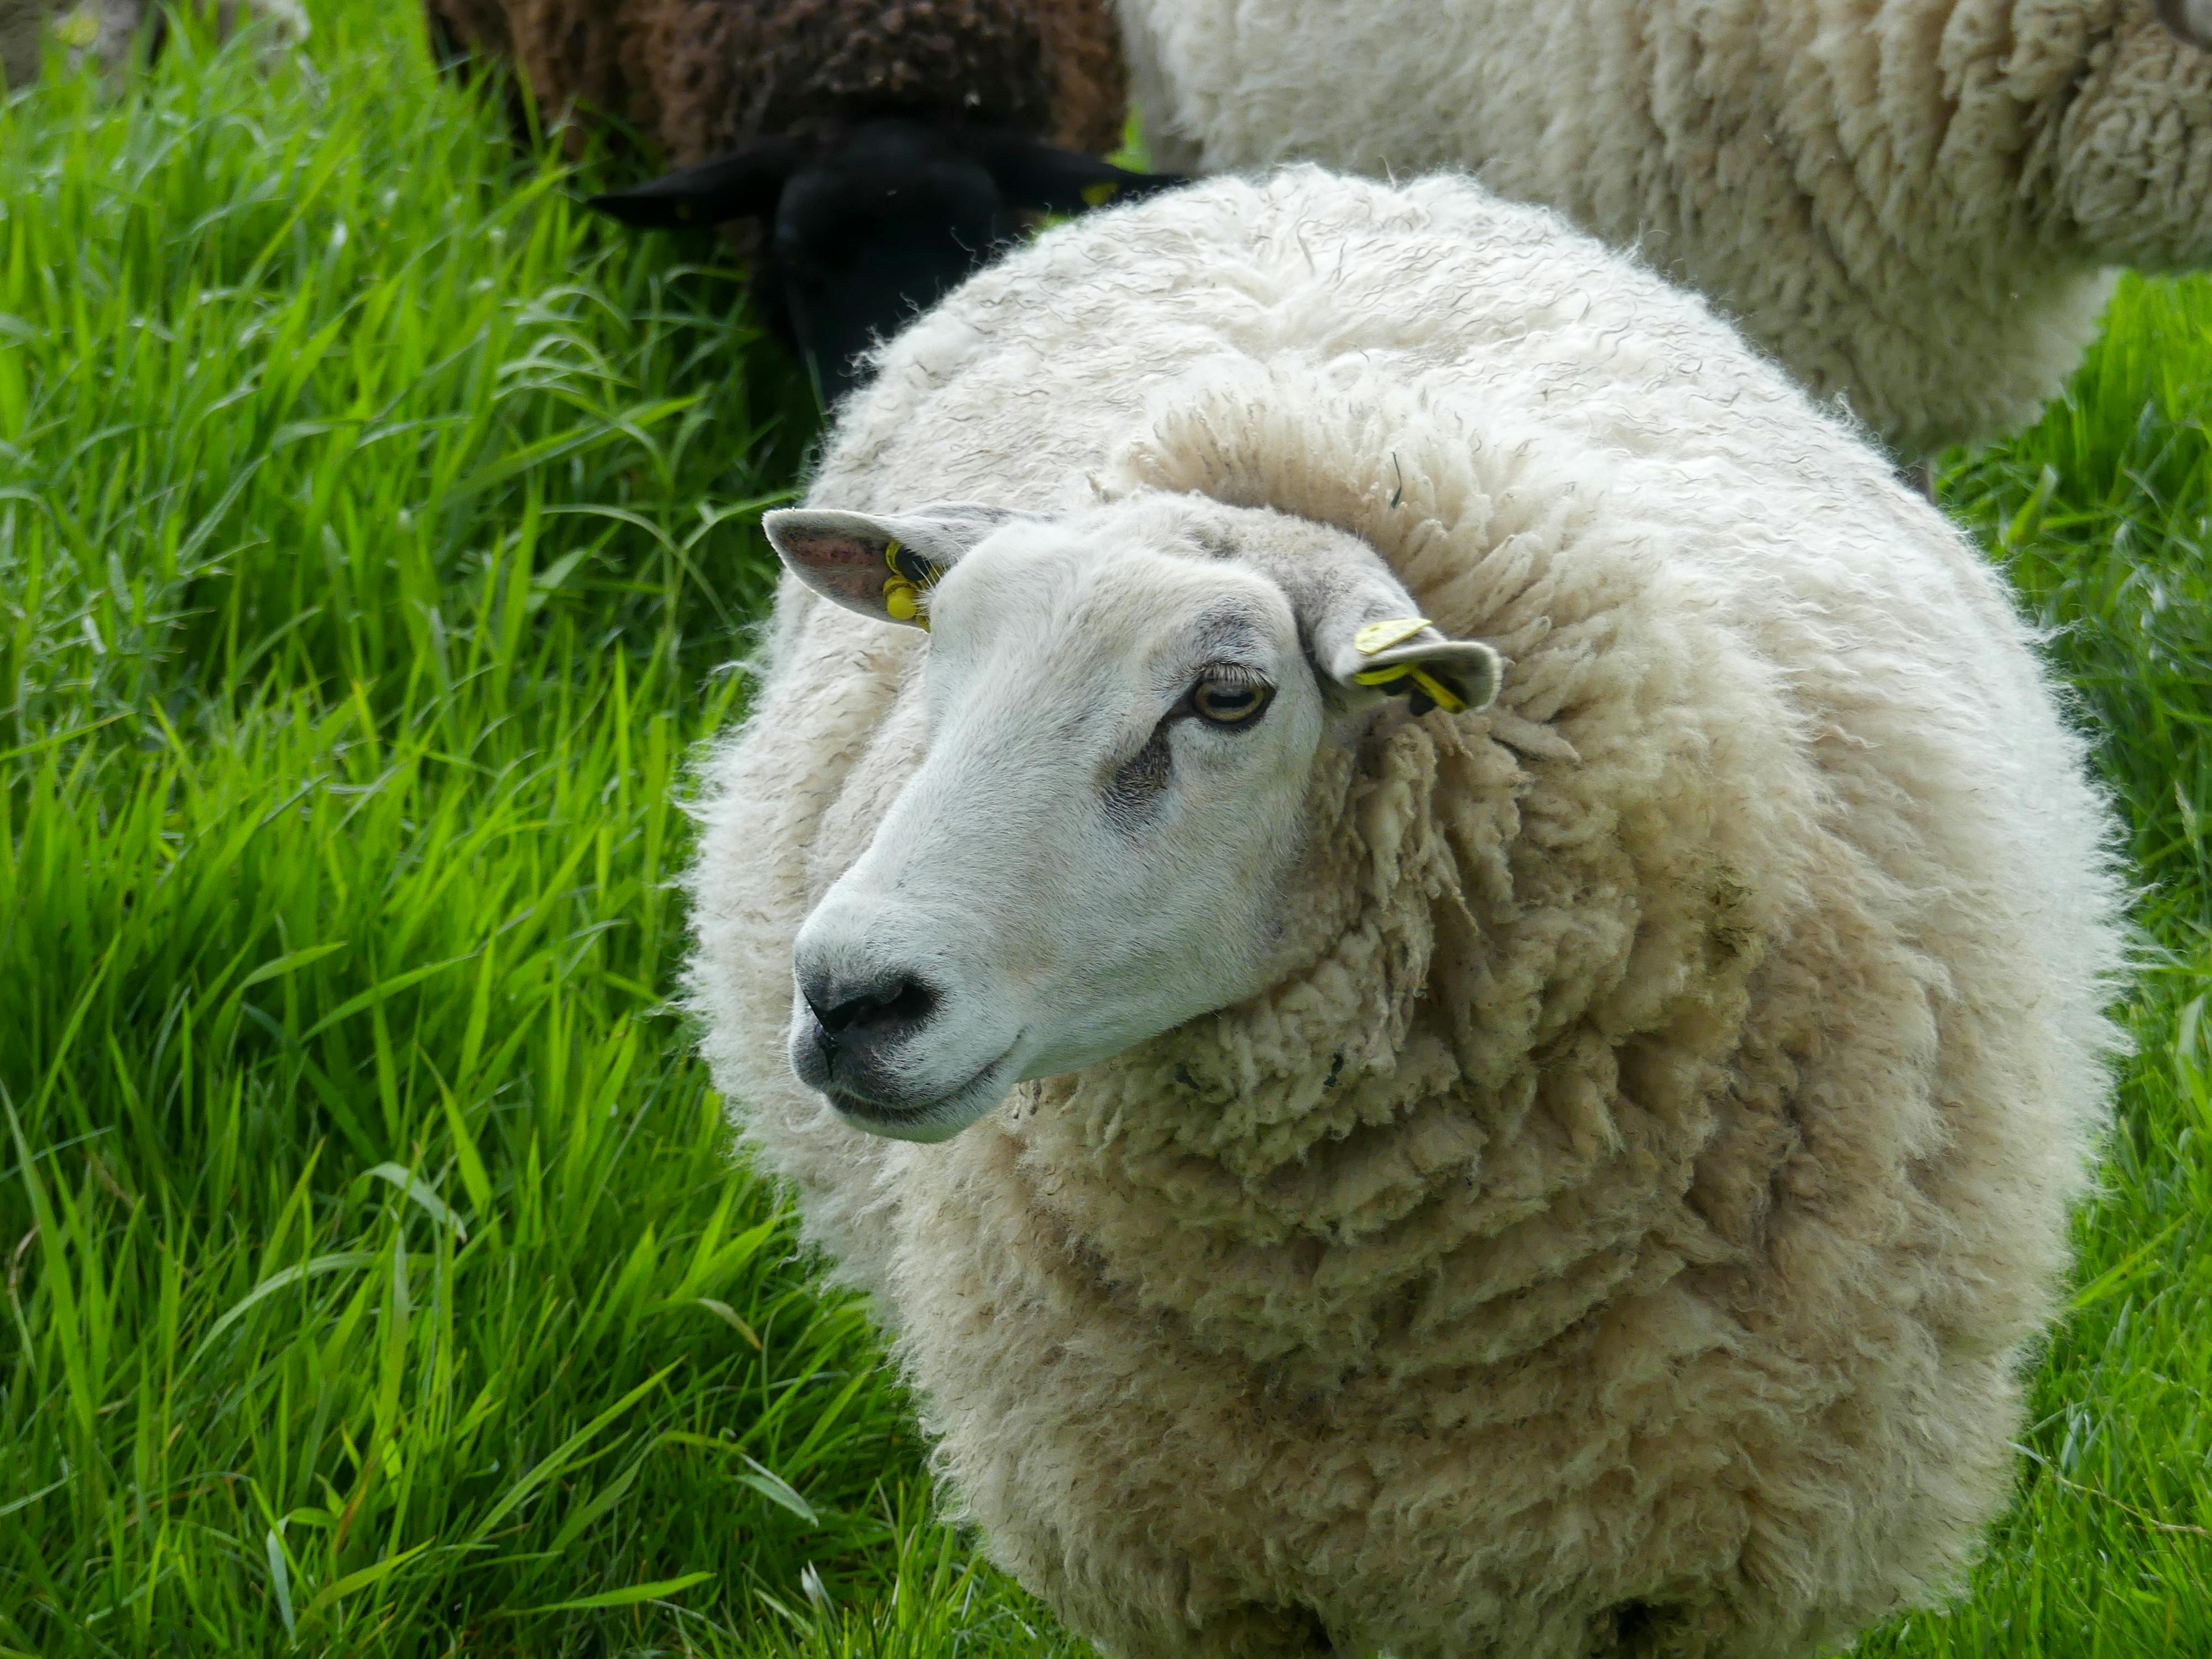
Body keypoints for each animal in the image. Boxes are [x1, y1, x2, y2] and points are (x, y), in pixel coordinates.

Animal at [683, 166, 2126, 1657]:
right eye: (943, 652)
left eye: (1227, 695)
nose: (848, 995)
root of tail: (1295, 184)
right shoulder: (1206, 1581)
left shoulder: (1719, 1576)